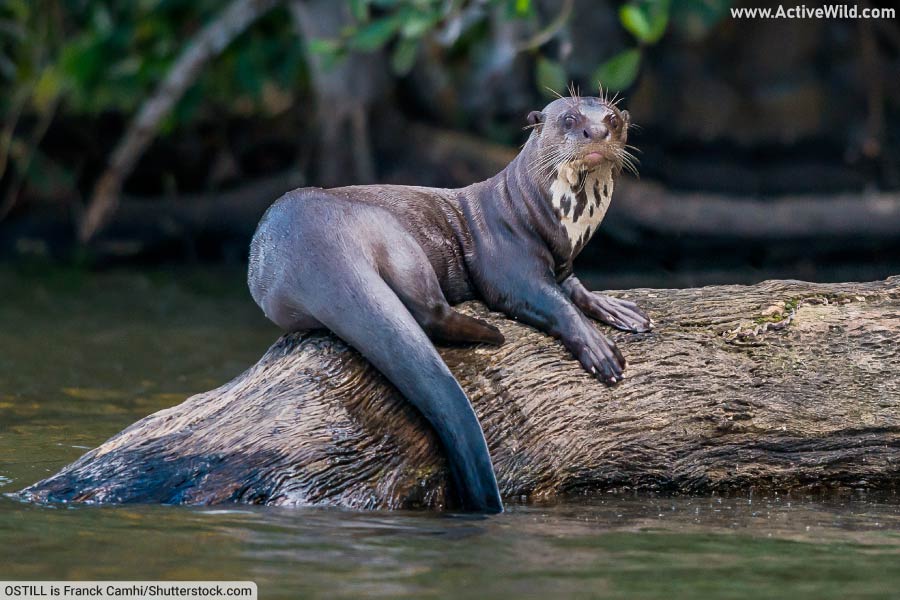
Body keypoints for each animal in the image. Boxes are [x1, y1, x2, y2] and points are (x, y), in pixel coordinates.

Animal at [248, 91, 652, 513]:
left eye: (611, 119)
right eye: (570, 120)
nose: (597, 132)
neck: (543, 216)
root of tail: (312, 244)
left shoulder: (563, 263)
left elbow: (575, 289)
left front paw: (619, 311)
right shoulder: (508, 263)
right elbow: (551, 302)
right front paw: (599, 350)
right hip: (393, 235)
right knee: (429, 311)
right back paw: (490, 333)